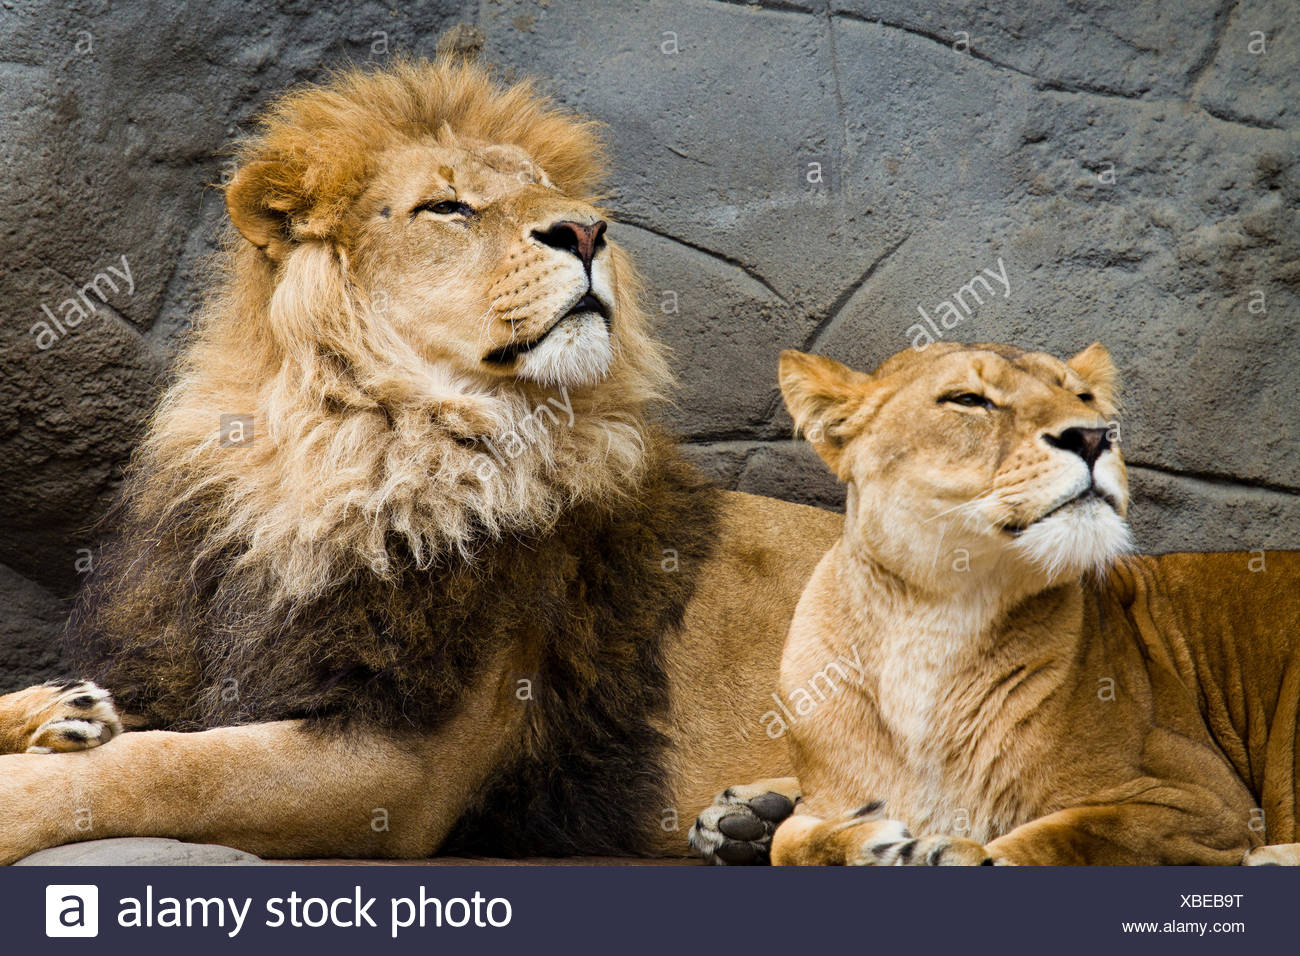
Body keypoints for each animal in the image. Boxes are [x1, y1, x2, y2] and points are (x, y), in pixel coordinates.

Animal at [0, 58, 839, 864]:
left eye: (545, 189)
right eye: (447, 207)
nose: (588, 231)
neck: (352, 449)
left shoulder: (403, 765)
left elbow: (167, 767)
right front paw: (48, 715)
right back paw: (754, 822)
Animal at [692, 343, 1300, 866]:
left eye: (1083, 397)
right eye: (968, 400)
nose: (1094, 437)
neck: (932, 622)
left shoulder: (1210, 801)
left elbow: (1081, 831)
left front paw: (949, 853)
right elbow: (794, 843)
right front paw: (842, 837)